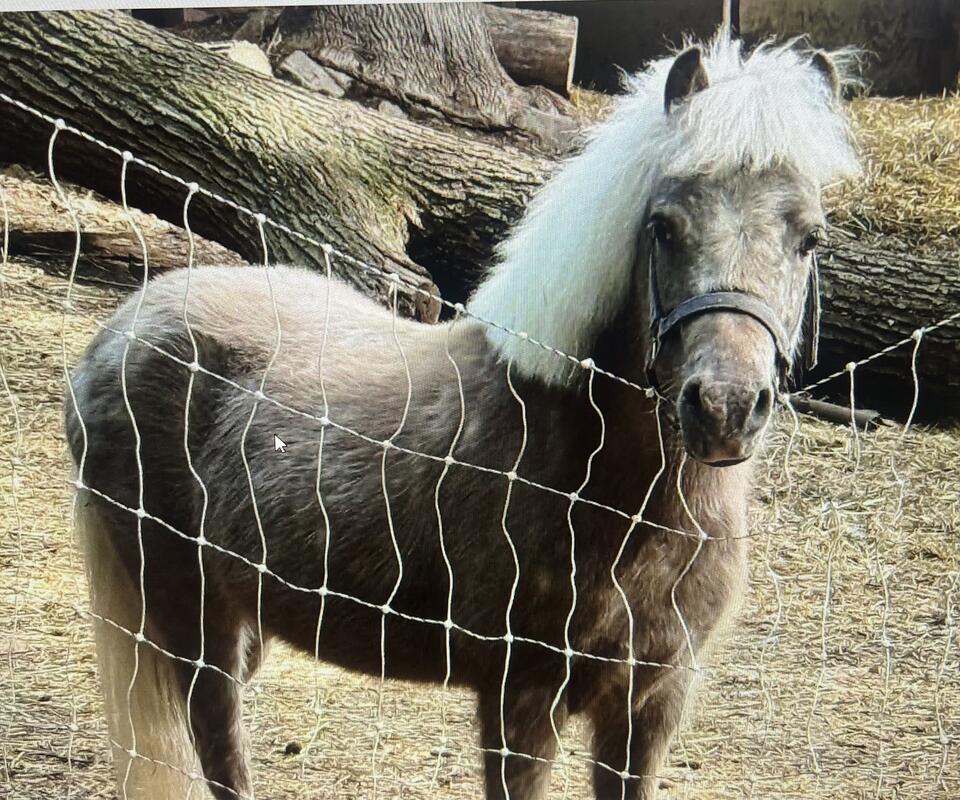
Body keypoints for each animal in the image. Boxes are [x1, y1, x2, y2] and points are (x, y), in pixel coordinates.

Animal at [64, 32, 859, 800]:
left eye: (809, 238)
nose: (725, 408)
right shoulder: (523, 701)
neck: (613, 492)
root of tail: (118, 332)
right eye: (663, 226)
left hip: (244, 615)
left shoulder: (651, 705)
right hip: (190, 615)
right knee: (218, 749)